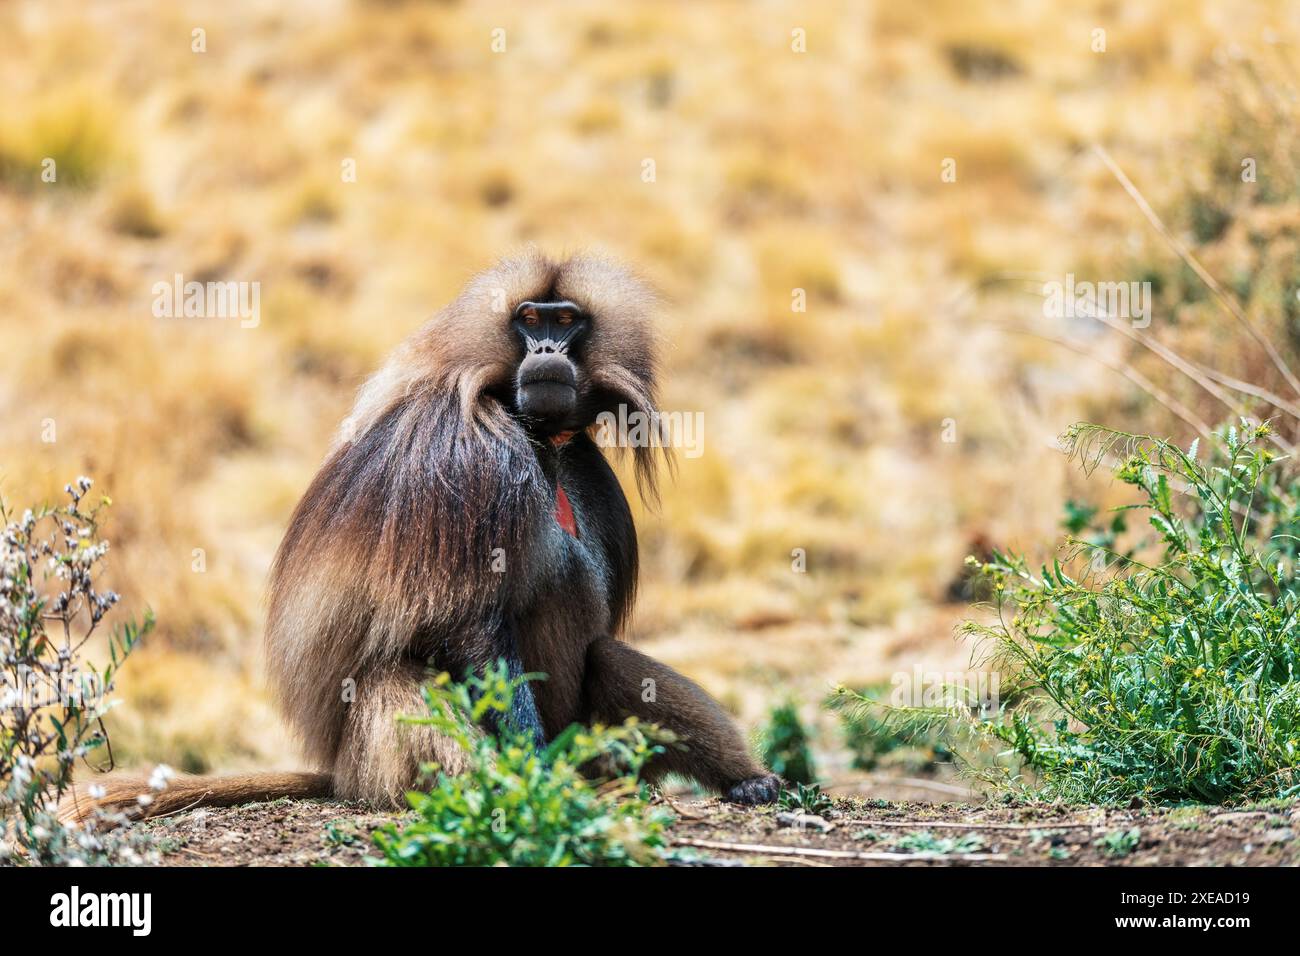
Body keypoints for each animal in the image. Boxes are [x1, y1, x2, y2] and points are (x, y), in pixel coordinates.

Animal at [63, 251, 780, 822]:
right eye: (529, 320)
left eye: (566, 321)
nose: (546, 354)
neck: (537, 437)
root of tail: (337, 770)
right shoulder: (471, 462)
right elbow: (468, 627)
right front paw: (533, 778)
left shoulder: (584, 464)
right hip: (375, 753)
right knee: (396, 680)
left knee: (606, 656)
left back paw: (745, 781)